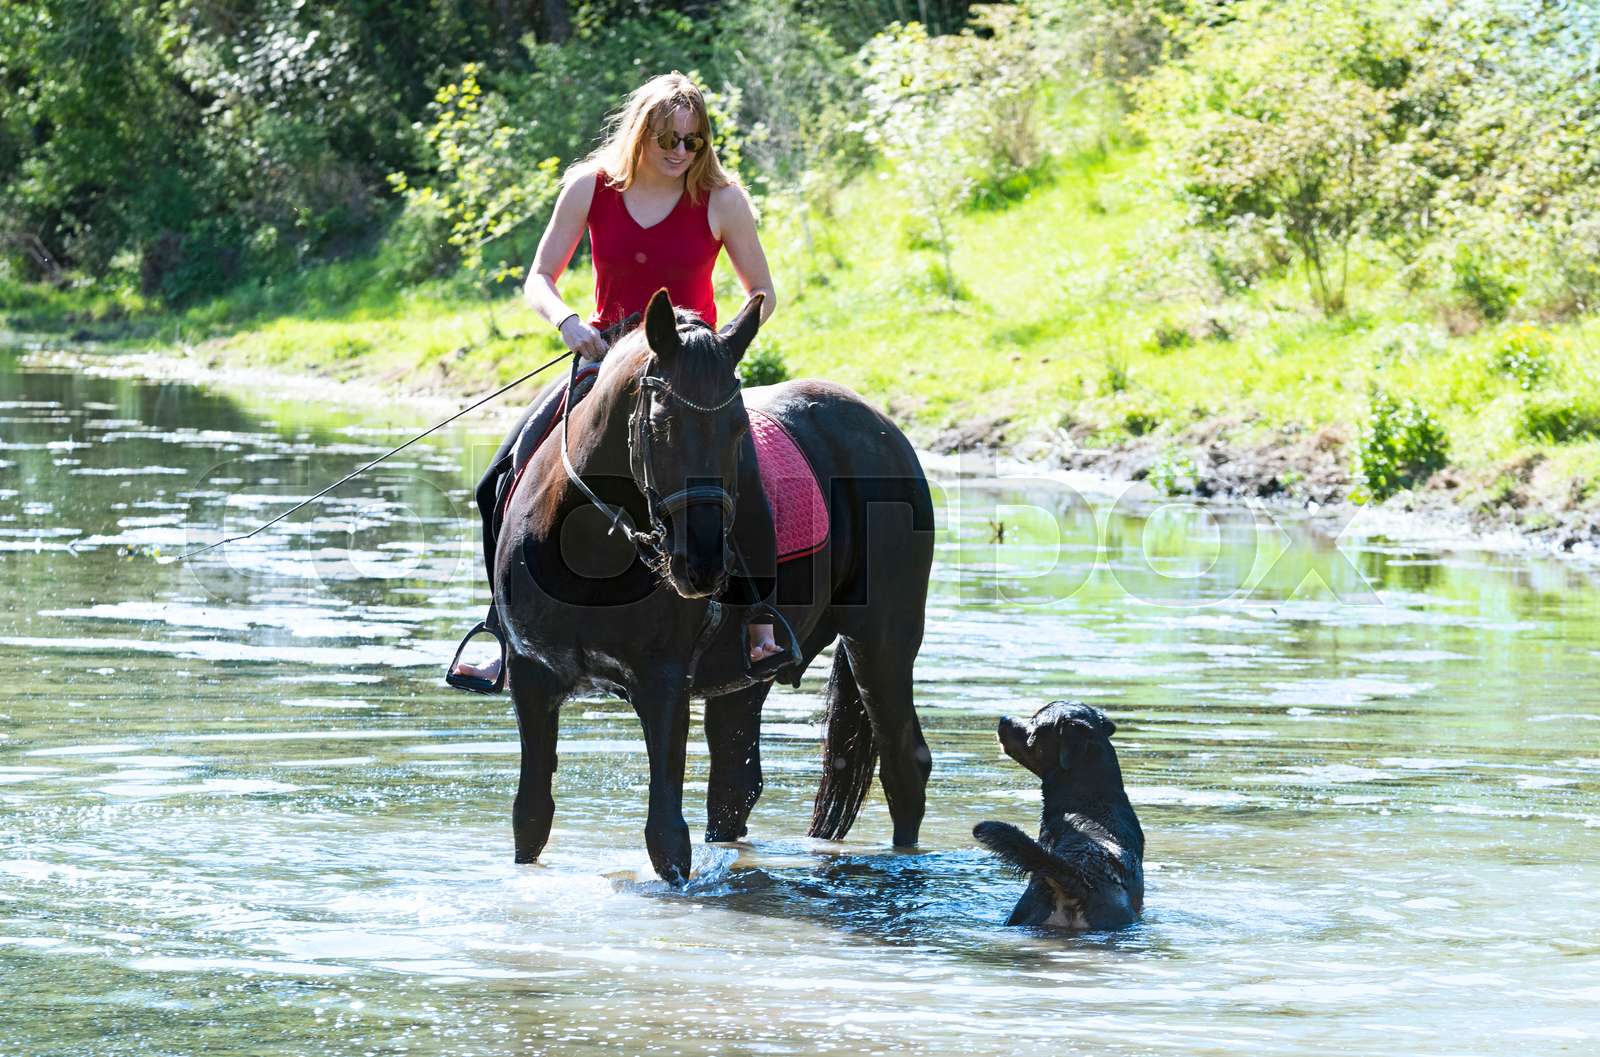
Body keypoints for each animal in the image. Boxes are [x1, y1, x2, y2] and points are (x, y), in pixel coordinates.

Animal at [493, 288, 935, 883]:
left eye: (737, 430)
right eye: (660, 425)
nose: (702, 565)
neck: (588, 551)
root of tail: (884, 430)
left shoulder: (663, 681)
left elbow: (665, 838)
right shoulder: (531, 675)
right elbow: (531, 818)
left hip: (882, 642)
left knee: (904, 766)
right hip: (745, 678)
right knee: (734, 783)